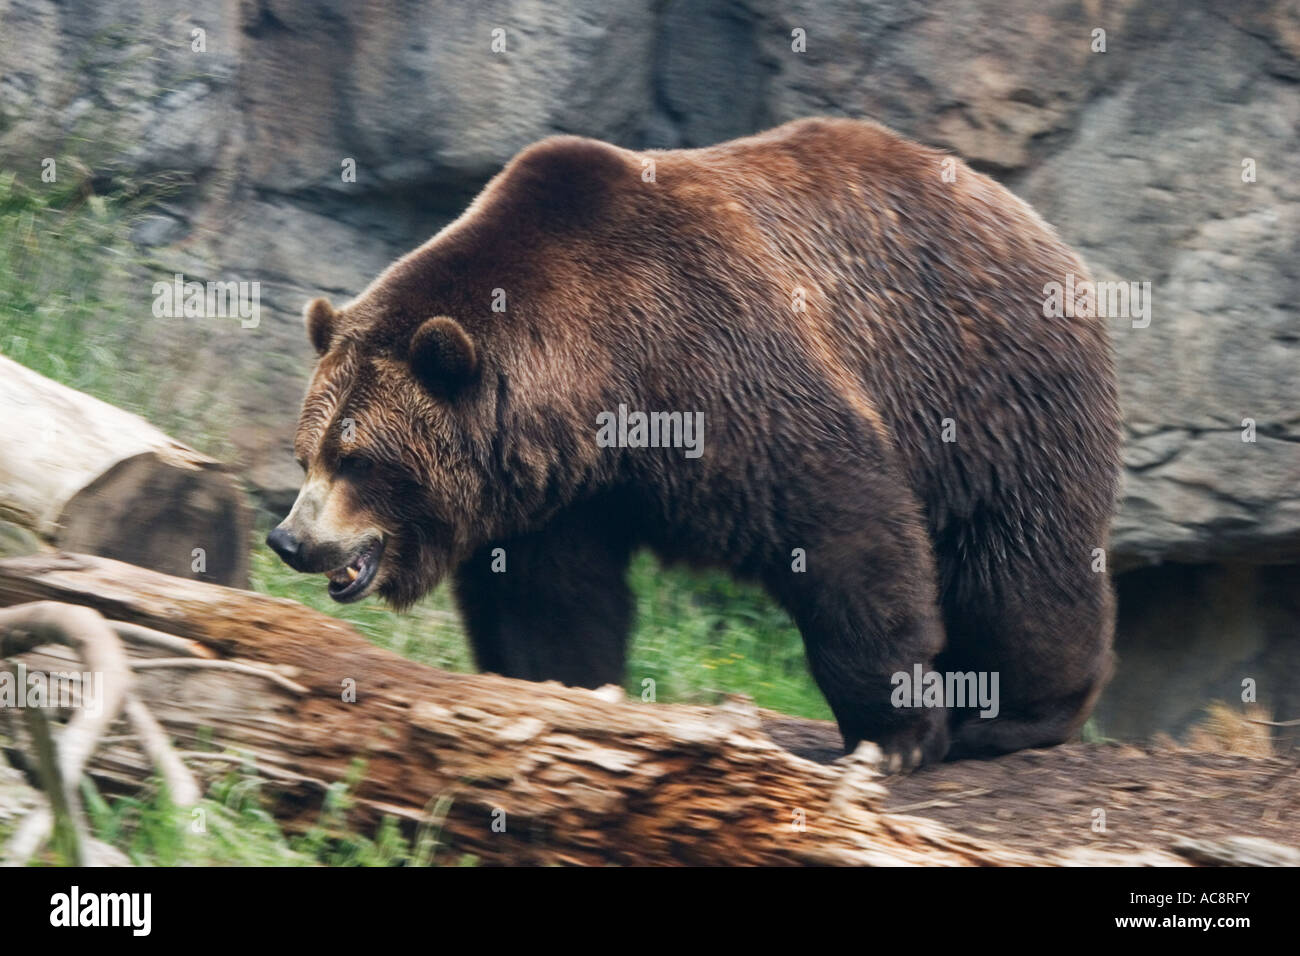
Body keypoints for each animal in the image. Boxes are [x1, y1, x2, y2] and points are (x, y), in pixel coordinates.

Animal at [267, 117, 1121, 770]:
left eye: (360, 460)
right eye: (307, 453)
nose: (291, 539)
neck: (601, 379)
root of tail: (1025, 214)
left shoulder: (723, 367)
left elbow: (845, 525)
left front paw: (895, 734)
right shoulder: (558, 490)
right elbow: (548, 601)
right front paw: (565, 692)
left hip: (990, 387)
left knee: (1018, 562)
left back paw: (1017, 713)